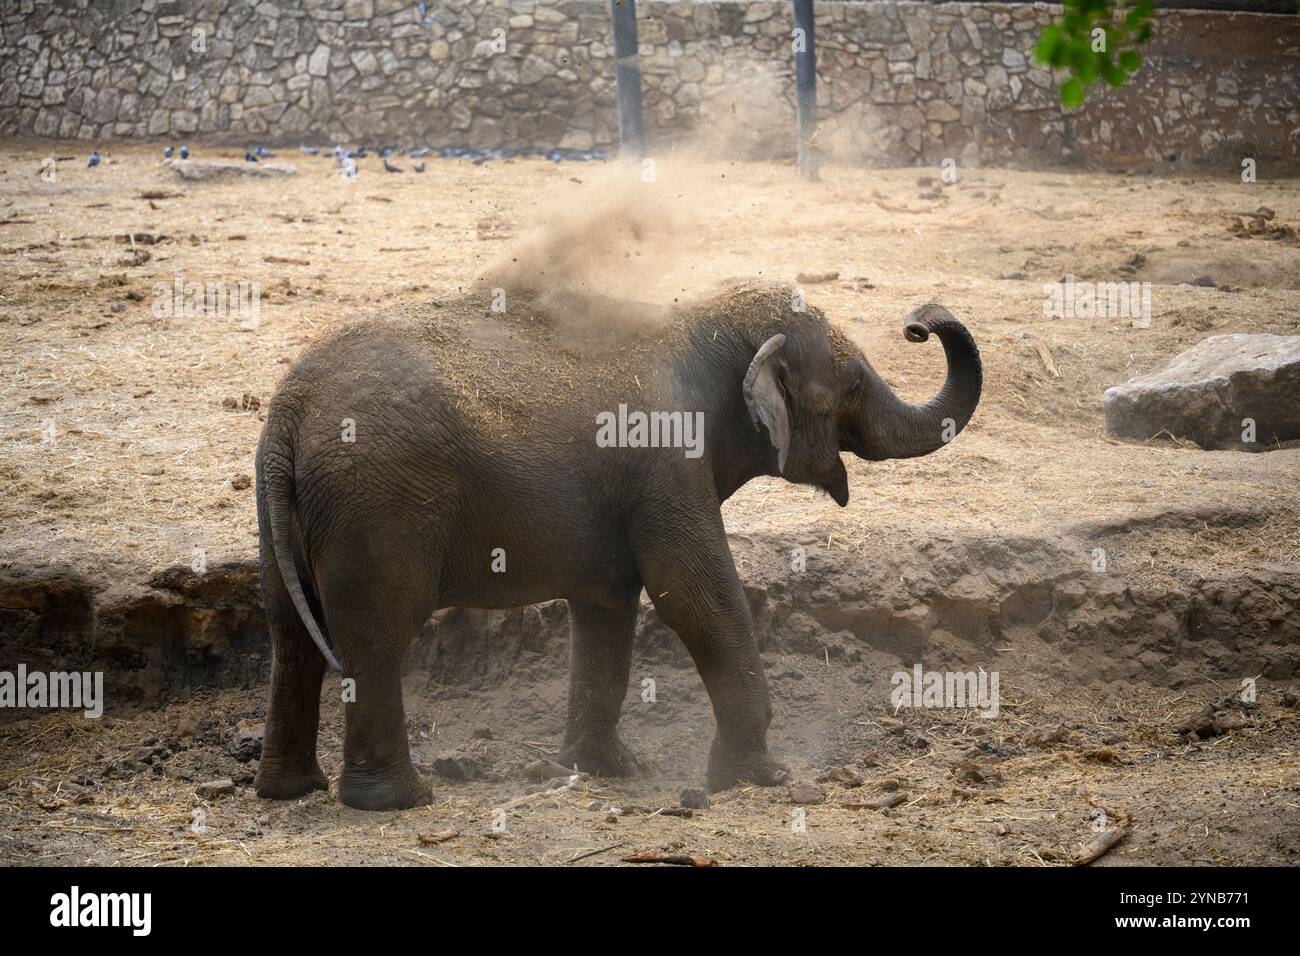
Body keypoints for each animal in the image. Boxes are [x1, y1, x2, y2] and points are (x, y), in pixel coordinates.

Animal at [253, 281, 982, 810]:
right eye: (853, 384)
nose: (919, 323)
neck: (702, 324)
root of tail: (290, 411)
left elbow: (608, 607)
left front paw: (604, 770)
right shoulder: (667, 465)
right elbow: (695, 597)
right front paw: (756, 777)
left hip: (283, 513)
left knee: (292, 635)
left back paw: (292, 790)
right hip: (381, 508)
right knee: (375, 637)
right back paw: (399, 801)